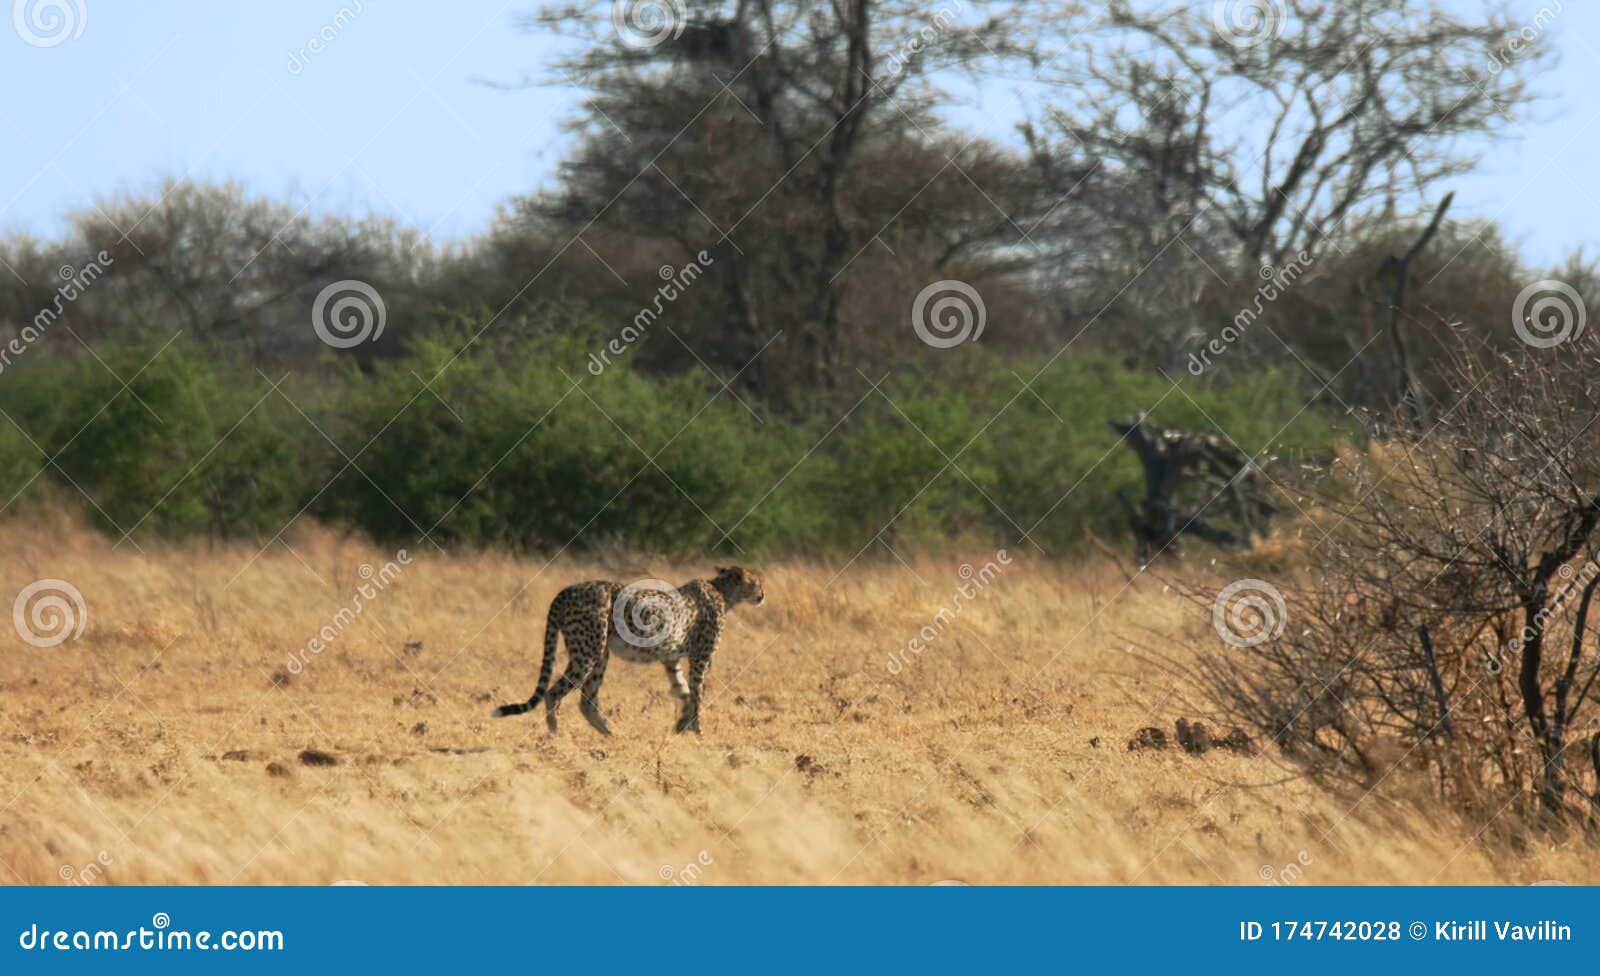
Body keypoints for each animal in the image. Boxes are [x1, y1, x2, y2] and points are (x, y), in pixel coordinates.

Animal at [491, 566, 765, 736]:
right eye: (756, 583)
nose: (763, 595)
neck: (723, 591)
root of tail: (567, 590)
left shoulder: (671, 659)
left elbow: (684, 691)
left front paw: (681, 727)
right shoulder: (701, 659)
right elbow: (697, 694)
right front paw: (697, 732)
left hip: (600, 654)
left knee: (586, 701)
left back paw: (611, 735)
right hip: (587, 652)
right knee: (553, 693)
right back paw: (556, 736)